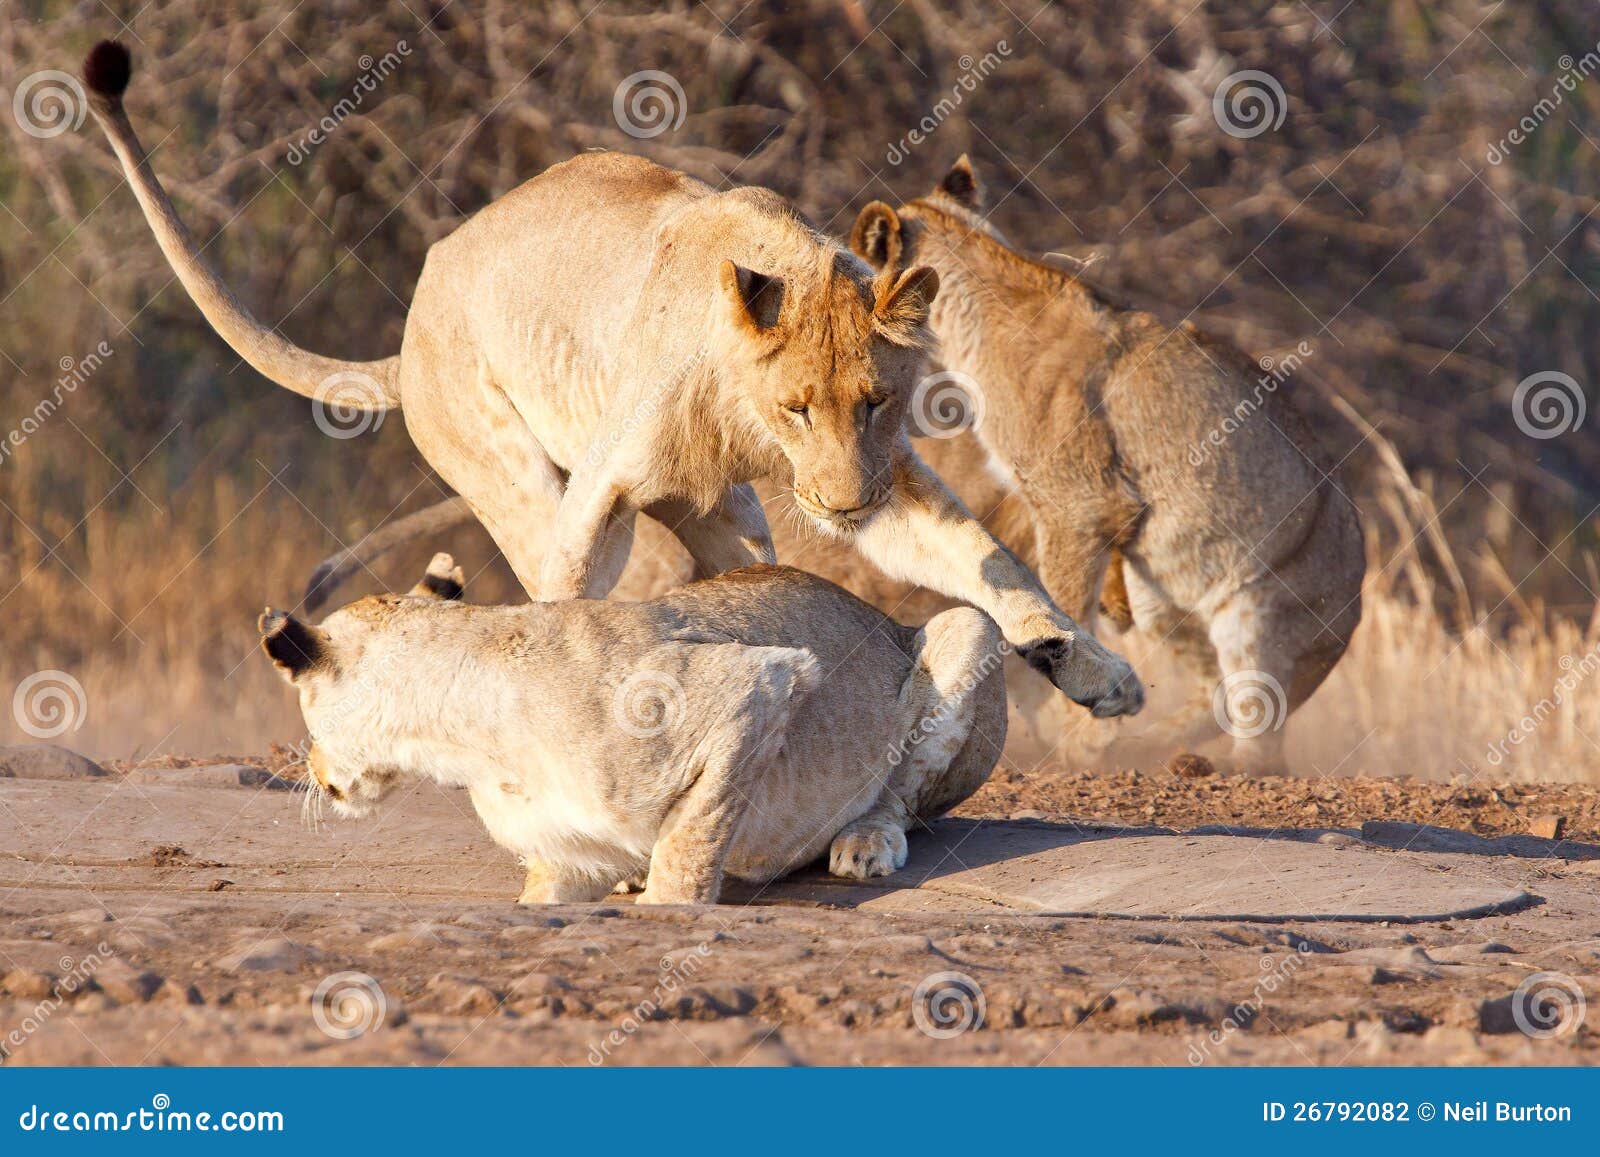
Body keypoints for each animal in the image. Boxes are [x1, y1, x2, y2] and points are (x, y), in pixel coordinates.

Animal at [82, 40, 1141, 721]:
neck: (748, 417)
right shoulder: (606, 489)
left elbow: (992, 564)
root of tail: (412, 323)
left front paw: (1091, 668)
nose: (841, 506)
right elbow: (566, 597)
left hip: (730, 516)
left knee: (733, 564)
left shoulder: (879, 479)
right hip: (514, 469)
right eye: (796, 407)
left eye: (875, 402)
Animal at [260, 554, 1007, 904]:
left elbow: (688, 849)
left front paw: (665, 896)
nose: (314, 771)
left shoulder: (760, 682)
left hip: (971, 628)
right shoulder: (566, 855)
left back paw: (865, 841)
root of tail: (885, 618)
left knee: (904, 798)